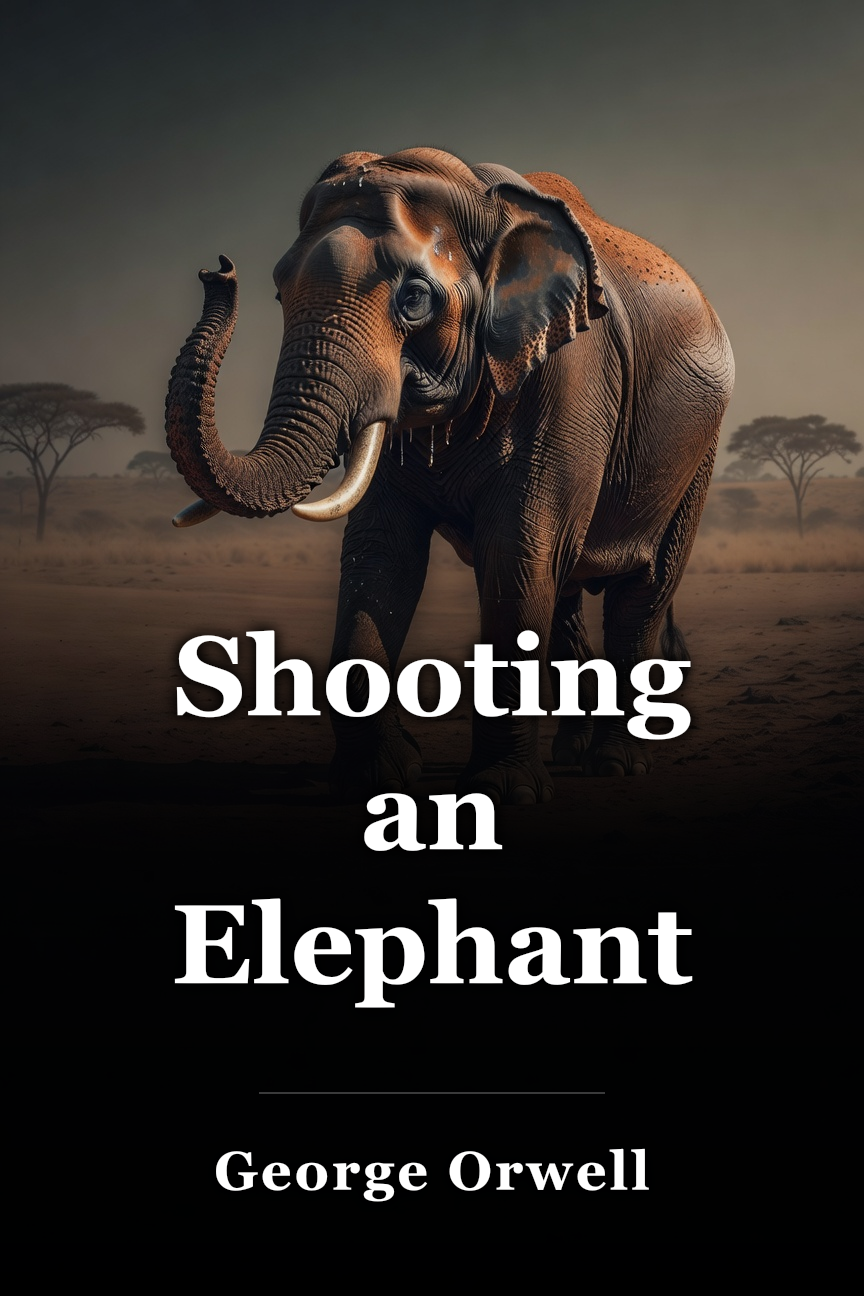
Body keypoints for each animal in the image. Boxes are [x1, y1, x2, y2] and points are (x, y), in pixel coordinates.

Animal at [165, 146, 734, 804]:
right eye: (281, 294)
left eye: (414, 299)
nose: (218, 271)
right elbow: (382, 557)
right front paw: (375, 777)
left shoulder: (573, 375)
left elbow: (516, 554)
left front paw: (503, 792)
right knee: (566, 591)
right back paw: (572, 753)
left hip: (697, 450)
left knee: (639, 595)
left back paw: (615, 765)